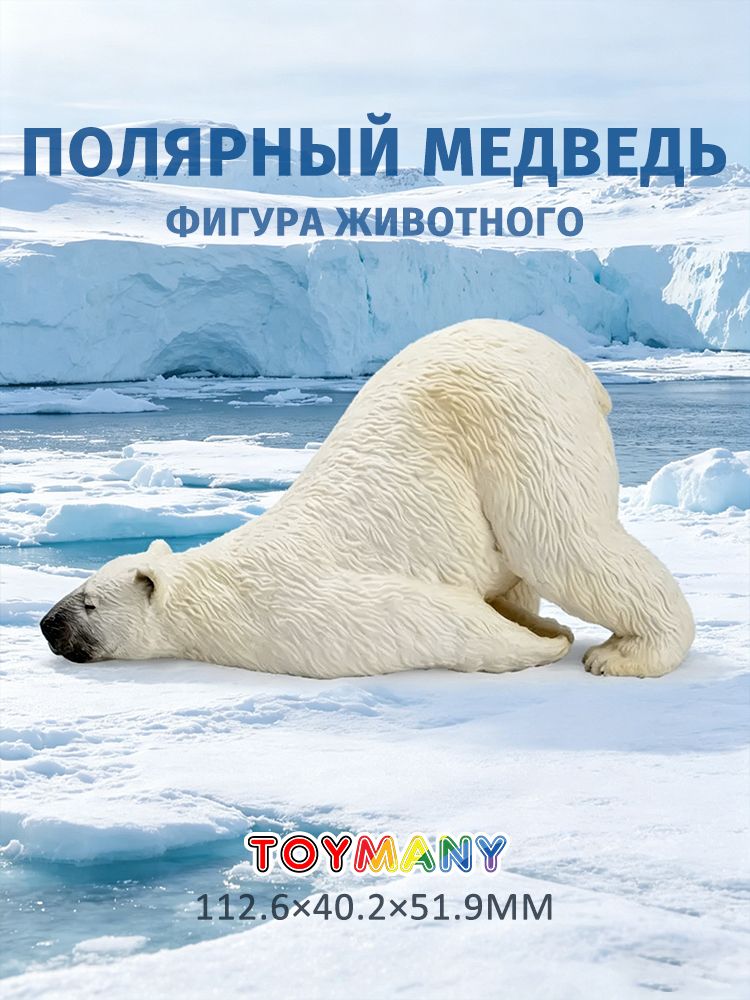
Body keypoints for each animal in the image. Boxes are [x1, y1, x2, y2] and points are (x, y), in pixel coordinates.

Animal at [40, 319, 695, 678]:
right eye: (78, 587)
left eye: (90, 604)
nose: (47, 624)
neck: (216, 592)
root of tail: (576, 366)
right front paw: (544, 628)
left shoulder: (298, 615)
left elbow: (432, 620)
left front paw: (550, 642)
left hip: (519, 423)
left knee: (564, 542)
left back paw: (624, 653)